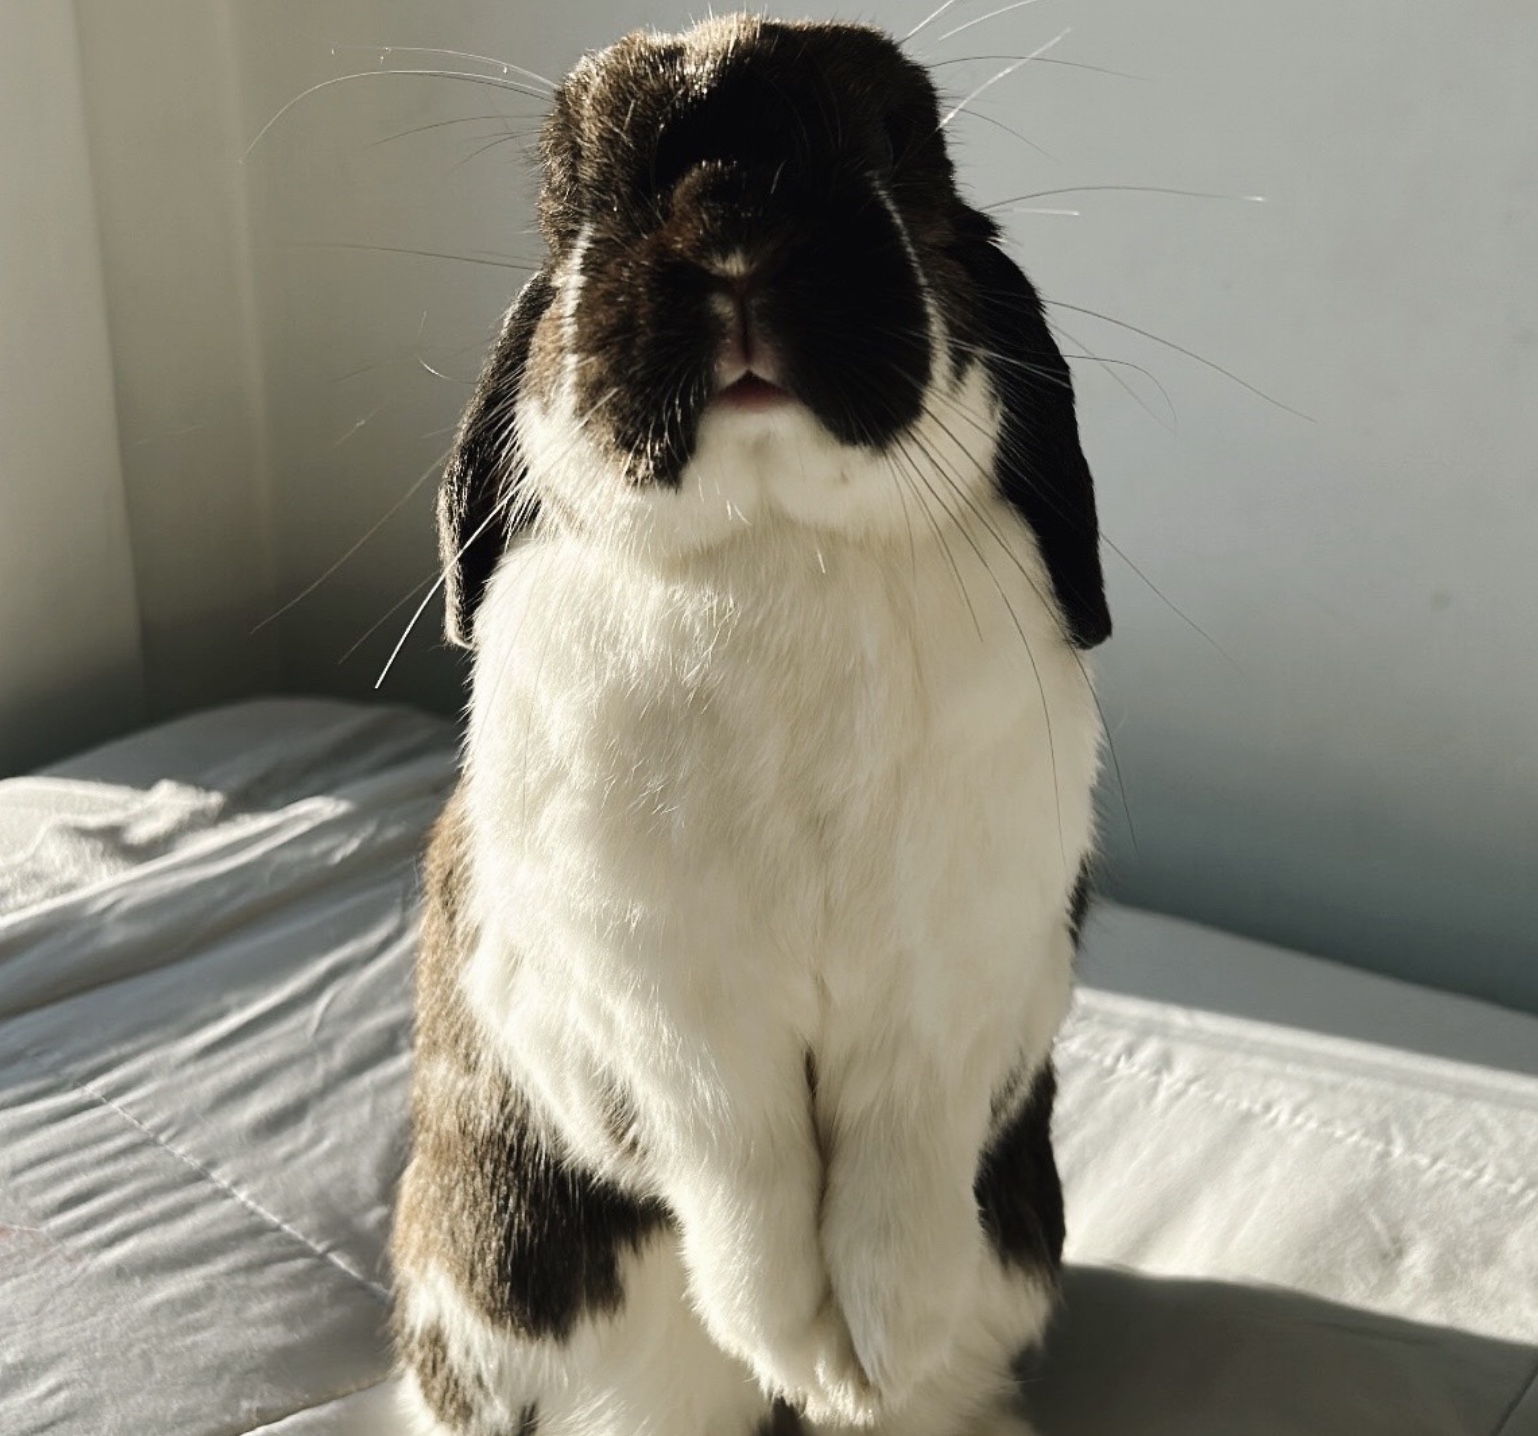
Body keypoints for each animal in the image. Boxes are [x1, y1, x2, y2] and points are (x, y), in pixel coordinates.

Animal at [389, 14, 1110, 1436]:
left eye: (905, 138)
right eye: (561, 189)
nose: (726, 198)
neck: (781, 543)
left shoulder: (954, 988)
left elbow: (894, 1174)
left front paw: (868, 1359)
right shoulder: (665, 1011)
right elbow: (747, 1170)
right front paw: (799, 1348)